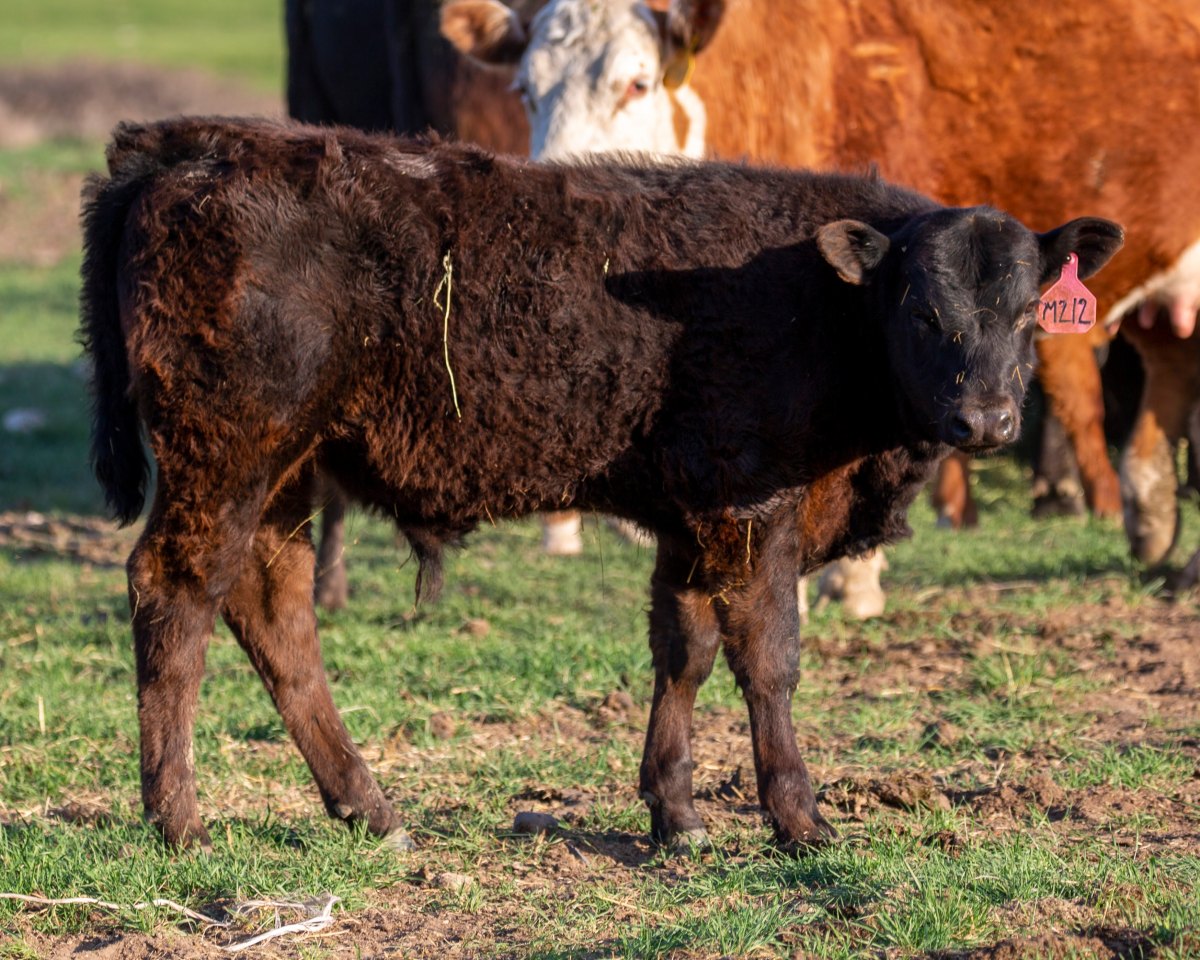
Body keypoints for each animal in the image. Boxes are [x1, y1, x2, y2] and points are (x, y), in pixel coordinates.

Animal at [79, 117, 1122, 851]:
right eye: (923, 309)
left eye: (1028, 311)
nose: (986, 421)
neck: (824, 303)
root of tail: (187, 147)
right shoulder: (754, 509)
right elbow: (769, 657)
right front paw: (799, 817)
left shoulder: (693, 517)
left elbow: (683, 650)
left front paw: (677, 813)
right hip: (226, 458)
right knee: (175, 596)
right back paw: (180, 821)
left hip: (284, 473)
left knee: (274, 612)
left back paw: (369, 808)